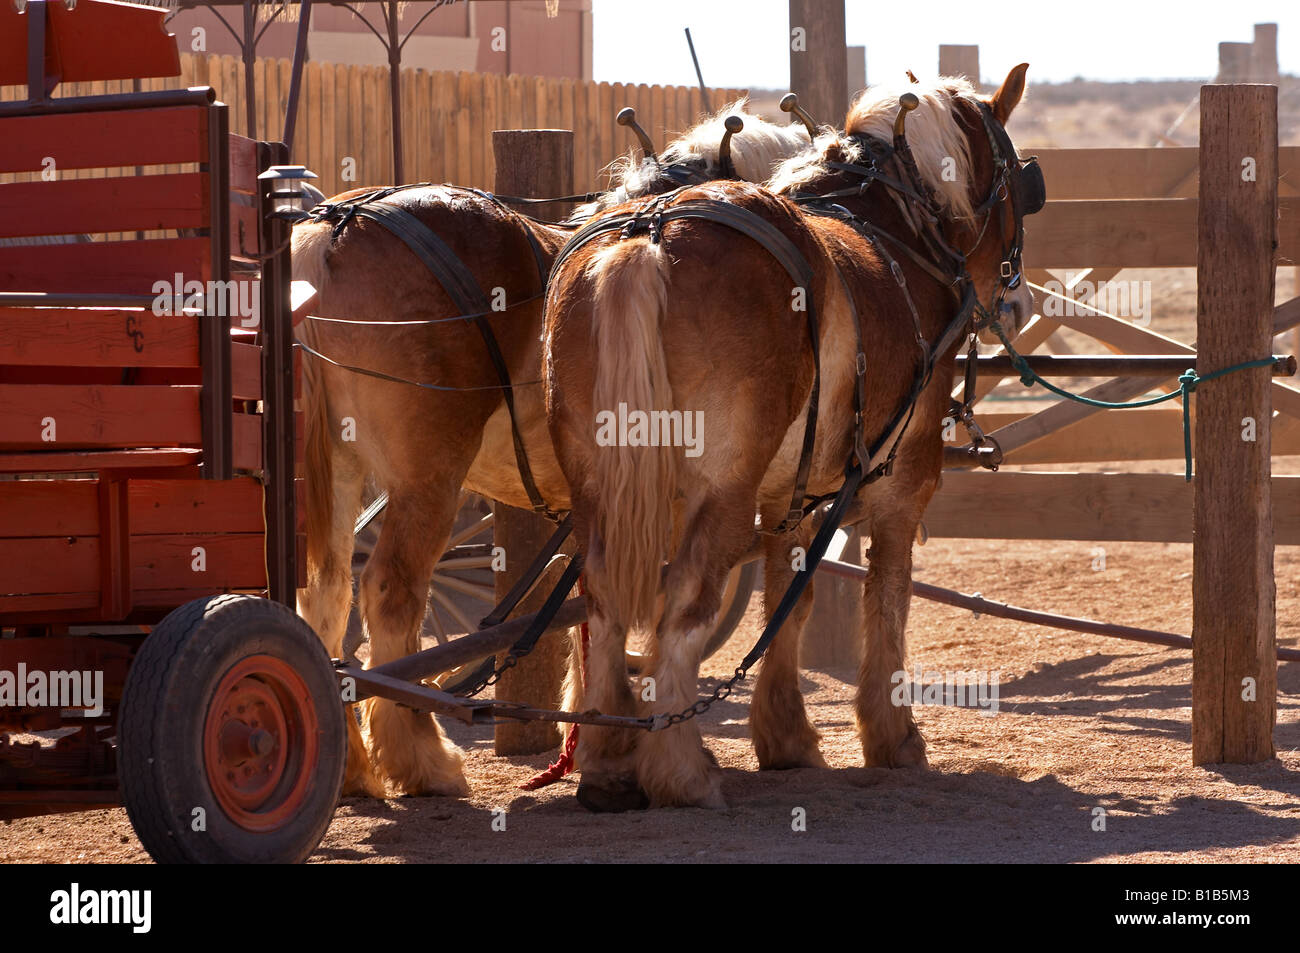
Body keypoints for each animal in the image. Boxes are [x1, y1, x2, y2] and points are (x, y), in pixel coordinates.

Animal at [292, 104, 811, 798]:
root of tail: (332, 233)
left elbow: (592, 605)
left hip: (336, 476)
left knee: (326, 593)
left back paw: (352, 766)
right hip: (425, 480)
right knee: (389, 592)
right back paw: (423, 759)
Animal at [542, 65, 1039, 810]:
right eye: (1019, 180)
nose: (1018, 298)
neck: (898, 232)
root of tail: (647, 234)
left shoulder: (791, 493)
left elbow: (790, 600)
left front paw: (785, 736)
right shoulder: (902, 480)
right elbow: (886, 598)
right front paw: (893, 735)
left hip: (599, 484)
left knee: (601, 601)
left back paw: (607, 763)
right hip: (720, 491)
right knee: (684, 604)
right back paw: (681, 771)